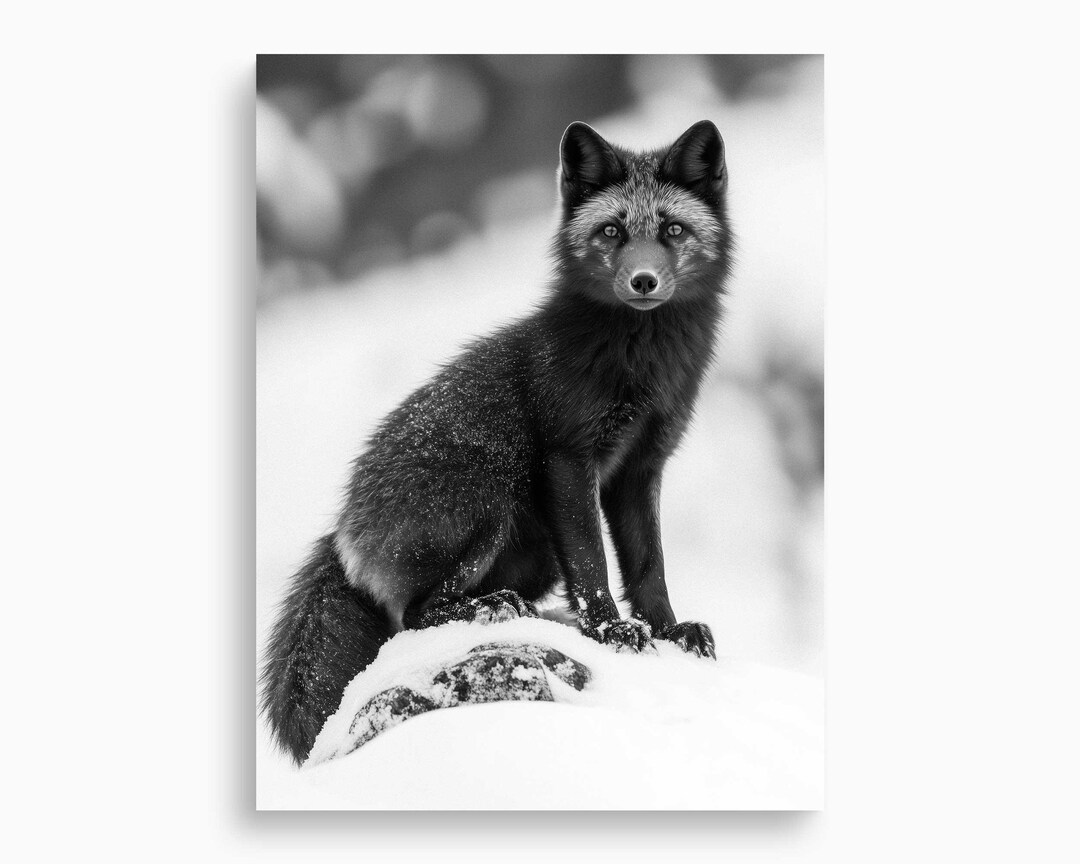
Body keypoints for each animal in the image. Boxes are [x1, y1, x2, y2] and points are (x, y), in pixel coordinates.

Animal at [261, 120, 735, 764]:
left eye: (673, 230)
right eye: (612, 230)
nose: (644, 281)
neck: (640, 364)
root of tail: (342, 531)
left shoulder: (640, 467)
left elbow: (647, 565)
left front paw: (668, 632)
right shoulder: (568, 458)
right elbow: (593, 565)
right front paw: (610, 631)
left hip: (534, 549)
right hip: (490, 504)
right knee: (414, 614)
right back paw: (490, 608)